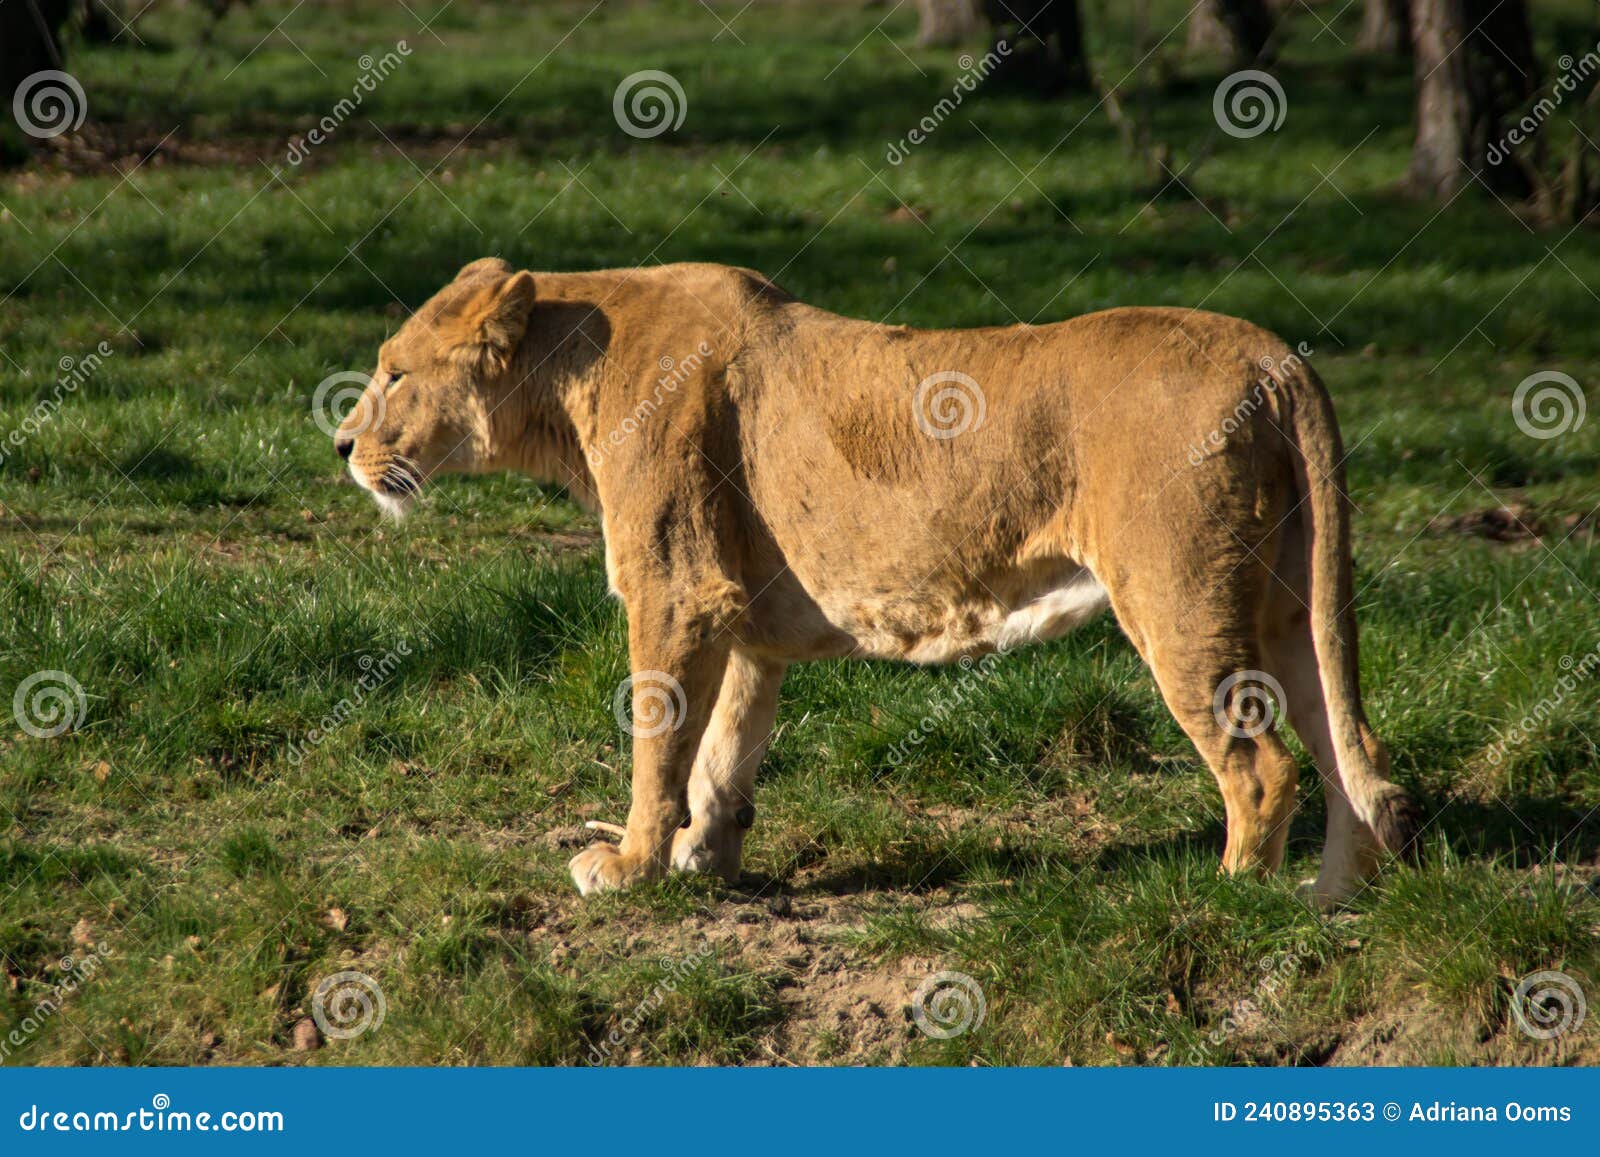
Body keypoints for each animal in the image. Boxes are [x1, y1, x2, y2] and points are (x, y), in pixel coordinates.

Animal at [334, 257, 1418, 906]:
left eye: (392, 373)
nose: (341, 444)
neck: (567, 374)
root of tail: (1275, 357)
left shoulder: (675, 589)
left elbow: (657, 740)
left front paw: (633, 864)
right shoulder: (741, 611)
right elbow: (723, 752)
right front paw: (701, 862)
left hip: (1179, 599)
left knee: (1262, 764)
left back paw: (1227, 905)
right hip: (1287, 606)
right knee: (1355, 753)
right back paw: (1328, 903)